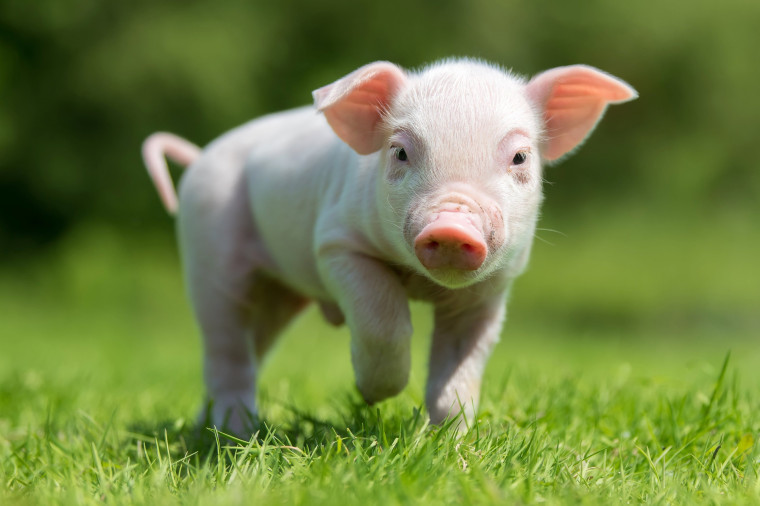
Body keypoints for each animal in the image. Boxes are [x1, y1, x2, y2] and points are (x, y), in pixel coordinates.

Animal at [142, 59, 637, 435]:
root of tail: (200, 156)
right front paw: (373, 396)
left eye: (520, 157)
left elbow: (460, 368)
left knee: (252, 346)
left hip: (278, 295)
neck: (422, 284)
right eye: (400, 152)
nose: (453, 225)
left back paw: (209, 426)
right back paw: (235, 433)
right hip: (209, 254)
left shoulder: (493, 288)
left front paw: (453, 442)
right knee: (224, 348)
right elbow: (384, 320)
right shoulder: (337, 244)